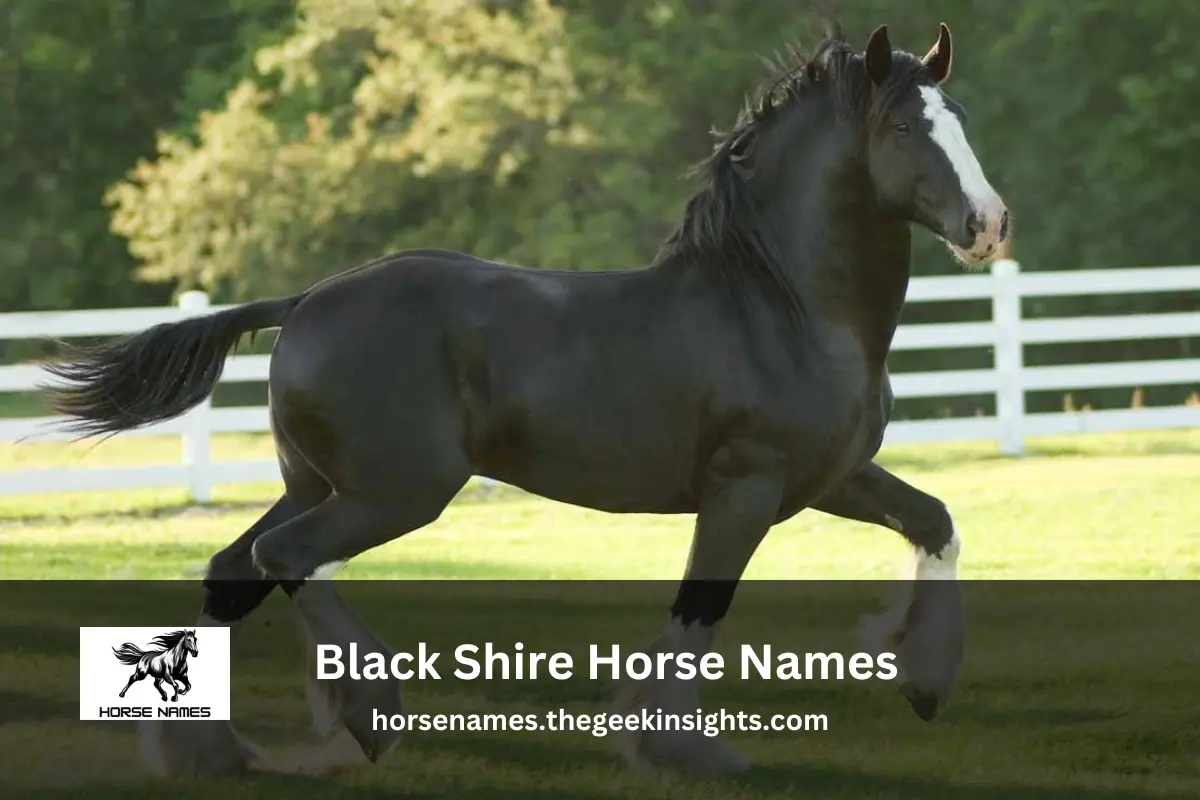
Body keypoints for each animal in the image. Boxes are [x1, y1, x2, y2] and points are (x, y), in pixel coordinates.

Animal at [41, 22, 1007, 777]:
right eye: (902, 125)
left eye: (961, 120)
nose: (989, 225)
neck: (782, 308)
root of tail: (308, 301)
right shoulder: (745, 486)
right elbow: (701, 604)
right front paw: (675, 746)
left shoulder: (831, 477)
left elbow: (937, 522)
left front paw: (923, 679)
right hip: (398, 490)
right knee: (287, 558)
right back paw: (367, 717)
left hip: (319, 481)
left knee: (235, 568)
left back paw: (206, 751)